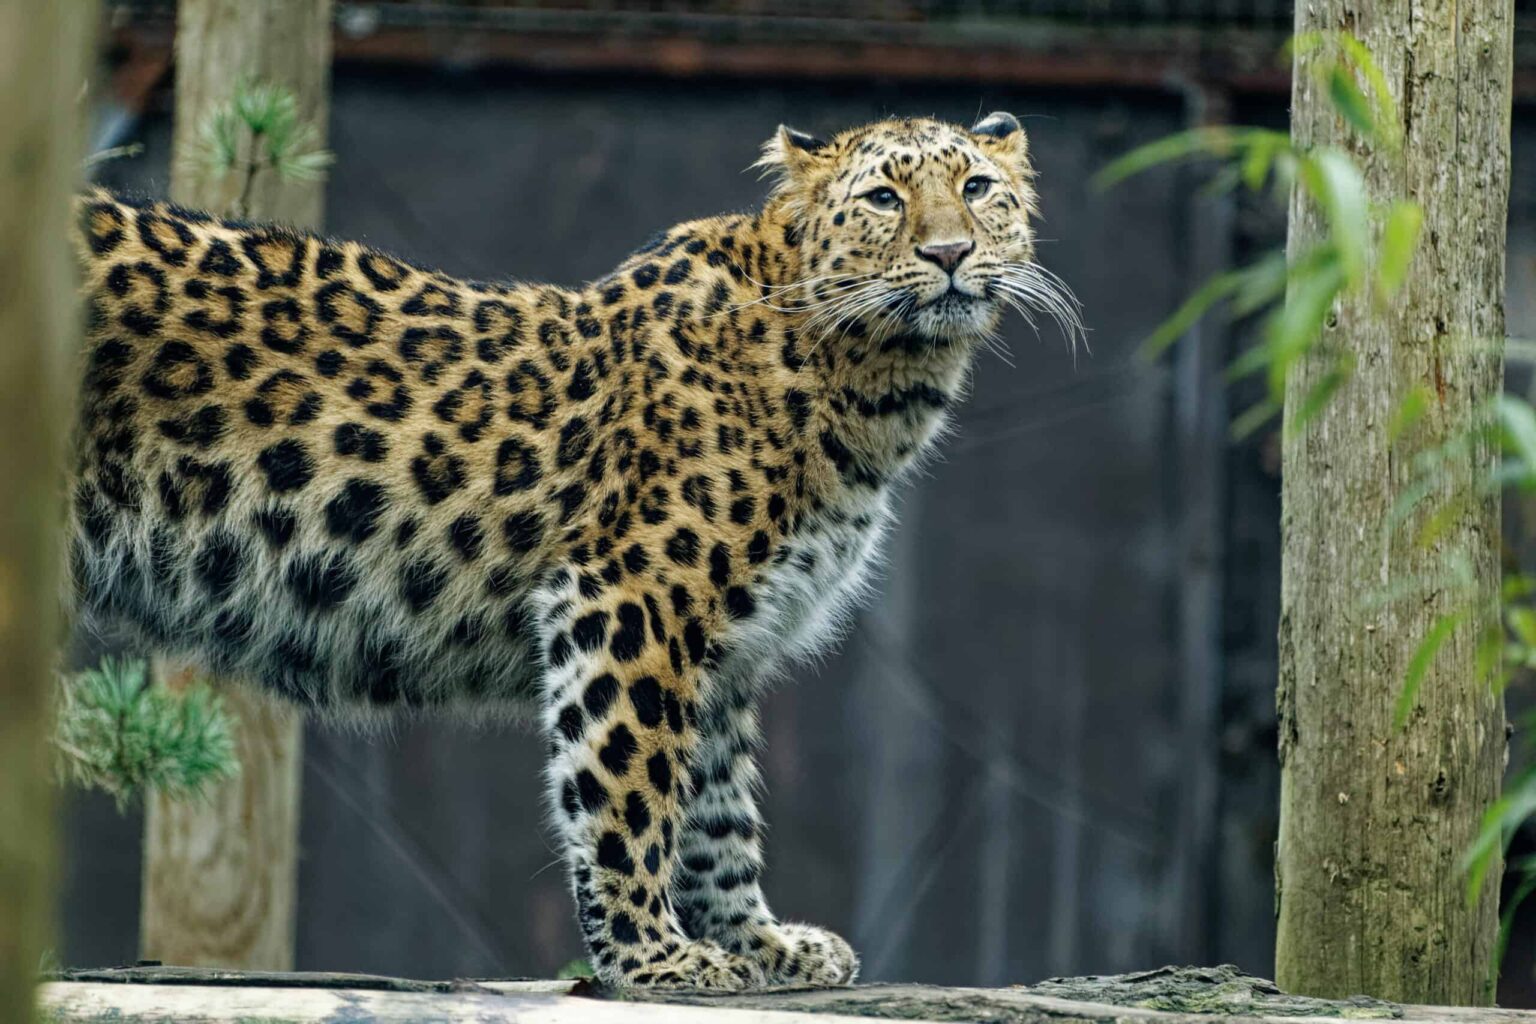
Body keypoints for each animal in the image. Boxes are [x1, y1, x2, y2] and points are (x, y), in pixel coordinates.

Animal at [66, 112, 1080, 990]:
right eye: (882, 198)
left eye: (977, 188)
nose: (948, 254)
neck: (874, 385)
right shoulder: (633, 599)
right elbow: (633, 788)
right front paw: (653, 959)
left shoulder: (730, 647)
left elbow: (720, 811)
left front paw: (761, 944)